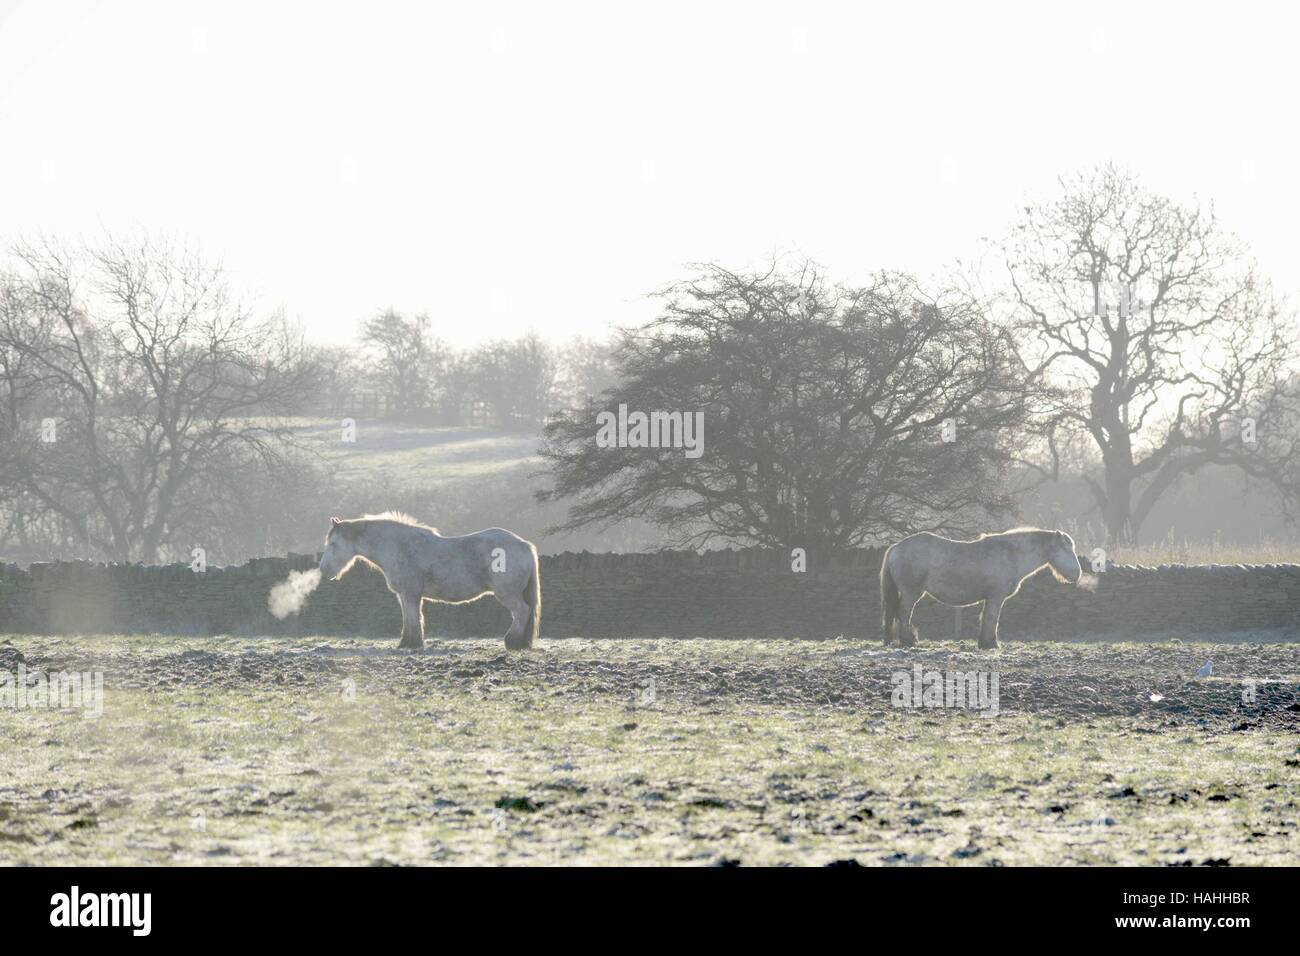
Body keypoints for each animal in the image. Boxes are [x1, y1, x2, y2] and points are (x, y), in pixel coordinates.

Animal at [318, 512, 541, 650]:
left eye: (333, 543)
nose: (323, 569)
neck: (400, 547)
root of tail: (524, 544)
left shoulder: (410, 594)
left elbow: (413, 618)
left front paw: (411, 643)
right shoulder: (405, 596)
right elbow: (410, 619)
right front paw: (408, 642)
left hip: (508, 594)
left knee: (521, 611)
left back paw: (512, 642)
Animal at [880, 527, 1082, 650]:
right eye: (1066, 549)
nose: (1077, 574)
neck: (1010, 554)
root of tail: (896, 547)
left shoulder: (990, 599)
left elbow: (986, 619)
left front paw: (985, 643)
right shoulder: (996, 598)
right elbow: (992, 619)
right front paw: (990, 644)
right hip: (911, 592)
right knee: (903, 613)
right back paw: (909, 641)